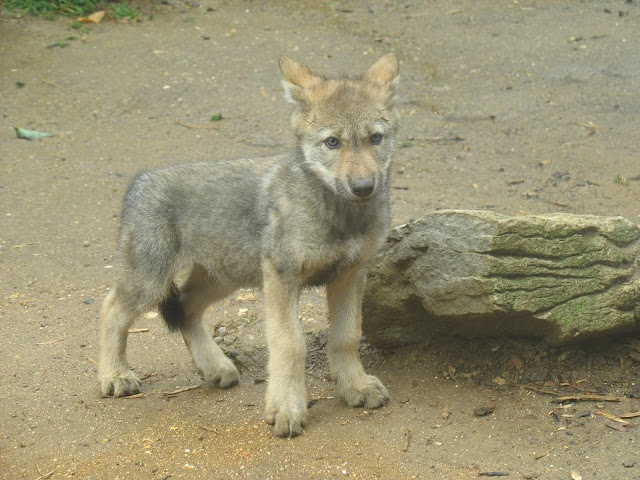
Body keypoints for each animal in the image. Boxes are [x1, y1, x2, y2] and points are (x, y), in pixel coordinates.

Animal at [98, 53, 400, 437]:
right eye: (332, 142)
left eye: (375, 138)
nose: (363, 187)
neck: (340, 215)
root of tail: (138, 181)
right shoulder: (281, 278)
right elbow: (290, 344)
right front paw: (287, 408)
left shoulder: (350, 275)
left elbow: (346, 337)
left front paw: (355, 387)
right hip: (150, 282)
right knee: (111, 309)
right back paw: (114, 376)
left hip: (222, 279)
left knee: (185, 310)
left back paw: (216, 368)